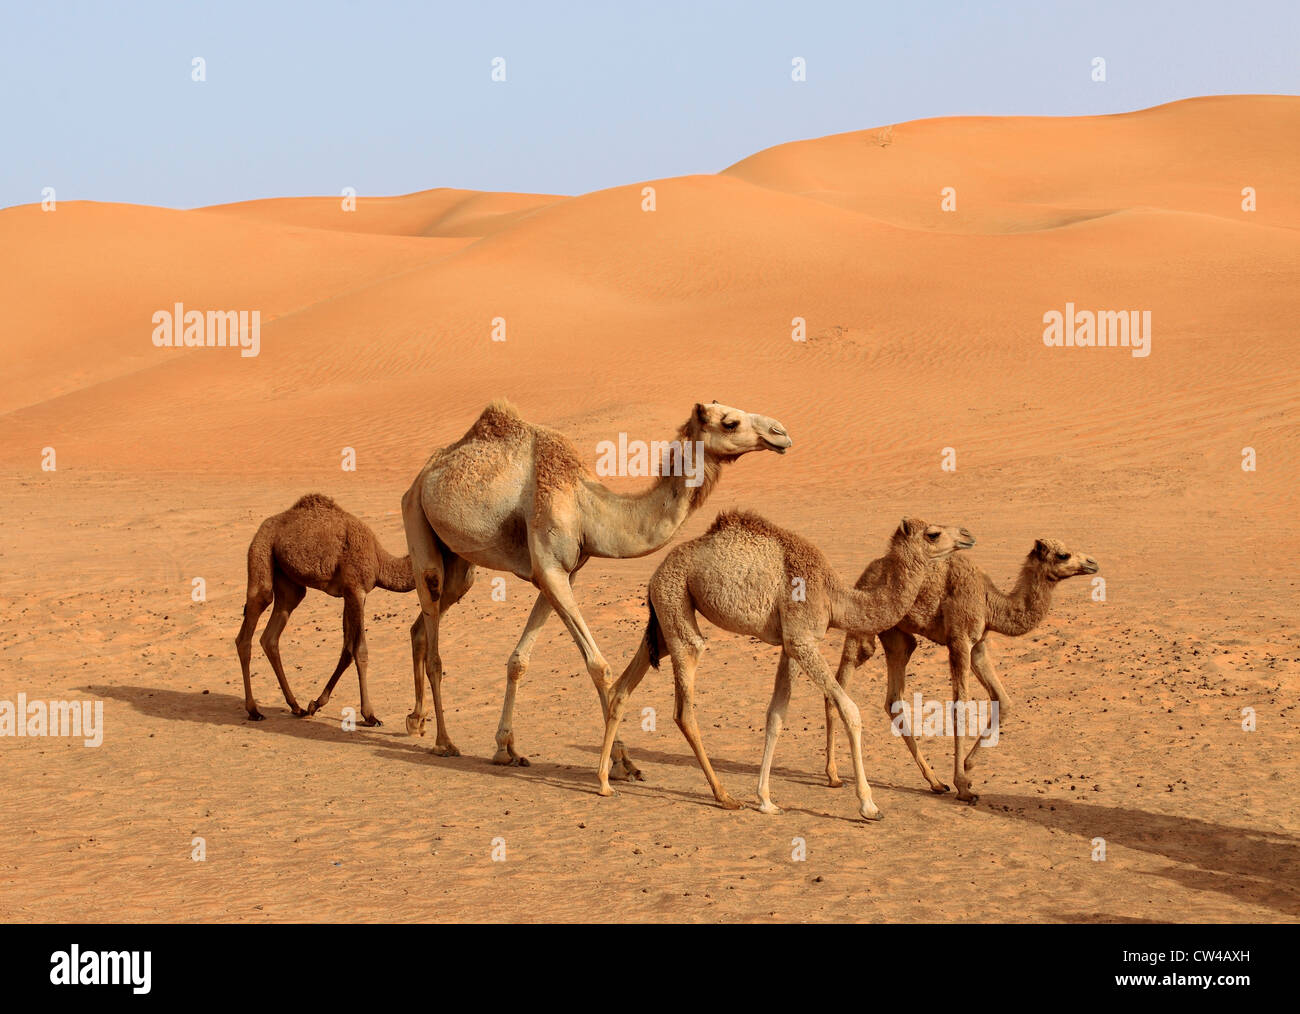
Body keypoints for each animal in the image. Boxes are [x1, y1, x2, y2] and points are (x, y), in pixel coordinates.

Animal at [235, 493, 429, 725]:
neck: (380, 559)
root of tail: (261, 529)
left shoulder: (350, 594)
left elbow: (347, 650)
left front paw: (314, 704)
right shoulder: (356, 589)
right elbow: (360, 650)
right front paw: (370, 715)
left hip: (289, 584)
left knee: (271, 636)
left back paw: (296, 707)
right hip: (261, 553)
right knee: (248, 629)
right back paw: (254, 710)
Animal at [400, 399, 791, 771]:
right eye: (730, 422)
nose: (781, 433)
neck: (588, 508)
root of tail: (424, 472)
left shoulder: (562, 571)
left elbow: (519, 661)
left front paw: (505, 748)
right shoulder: (550, 567)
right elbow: (598, 666)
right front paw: (622, 762)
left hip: (459, 562)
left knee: (428, 616)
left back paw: (416, 719)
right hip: (415, 515)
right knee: (432, 618)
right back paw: (443, 741)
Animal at [595, 511, 976, 820]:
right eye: (933, 534)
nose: (968, 534)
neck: (835, 597)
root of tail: (656, 572)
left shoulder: (790, 644)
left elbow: (776, 715)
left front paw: (766, 800)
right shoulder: (802, 639)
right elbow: (849, 709)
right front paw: (869, 805)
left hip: (664, 619)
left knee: (623, 688)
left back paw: (604, 782)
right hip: (676, 604)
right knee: (684, 705)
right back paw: (724, 796)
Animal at [824, 537, 1099, 802]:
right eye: (1063, 554)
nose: (1092, 563)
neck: (990, 602)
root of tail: (867, 572)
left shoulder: (978, 645)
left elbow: (1003, 699)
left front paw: (968, 766)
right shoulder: (959, 640)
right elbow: (960, 707)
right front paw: (964, 787)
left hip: (897, 635)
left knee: (893, 696)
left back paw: (934, 782)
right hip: (865, 622)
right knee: (842, 677)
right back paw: (834, 776)